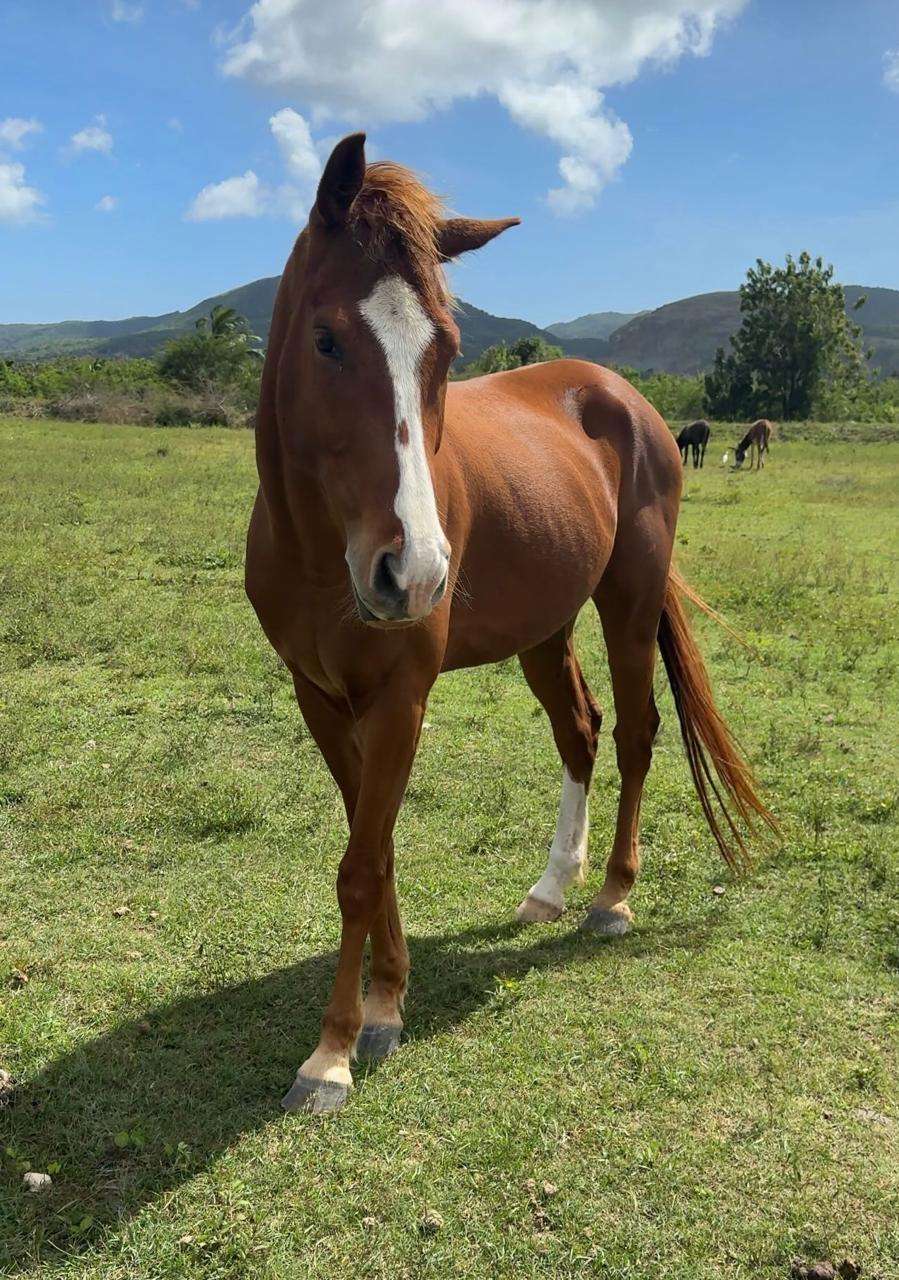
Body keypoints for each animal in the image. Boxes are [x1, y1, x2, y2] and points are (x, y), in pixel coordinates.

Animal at [245, 134, 775, 1114]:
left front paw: (333, 1050)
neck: (318, 553)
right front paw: (386, 1001)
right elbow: (374, 853)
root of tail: (620, 395)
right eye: (326, 339)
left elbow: (360, 868)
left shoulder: (402, 699)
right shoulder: (319, 698)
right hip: (544, 631)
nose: (413, 571)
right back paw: (551, 887)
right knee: (582, 731)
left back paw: (610, 898)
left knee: (635, 731)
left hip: (626, 602)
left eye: (446, 350)